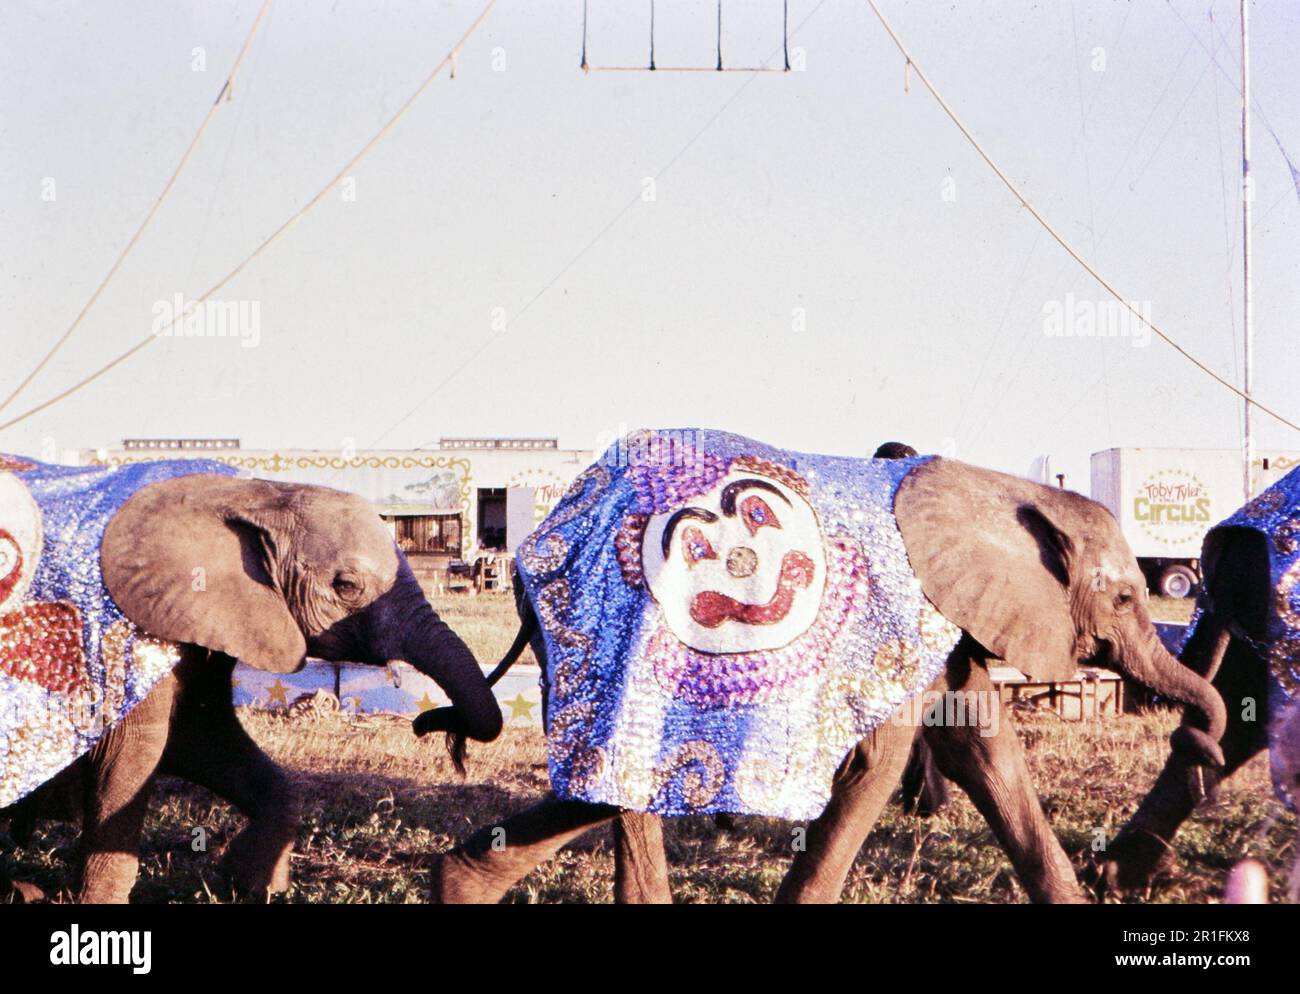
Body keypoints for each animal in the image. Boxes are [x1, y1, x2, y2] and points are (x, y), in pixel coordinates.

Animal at [0, 454, 501, 902]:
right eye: (346, 586)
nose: (427, 723)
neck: (252, 493)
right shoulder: (129, 631)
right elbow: (135, 751)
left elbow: (201, 736)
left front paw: (251, 887)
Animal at [420, 429, 1225, 904]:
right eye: (1123, 597)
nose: (1203, 744)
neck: (1001, 488)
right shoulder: (907, 612)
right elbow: (881, 761)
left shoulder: (951, 617)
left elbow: (984, 750)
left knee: (612, 788)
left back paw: (459, 885)